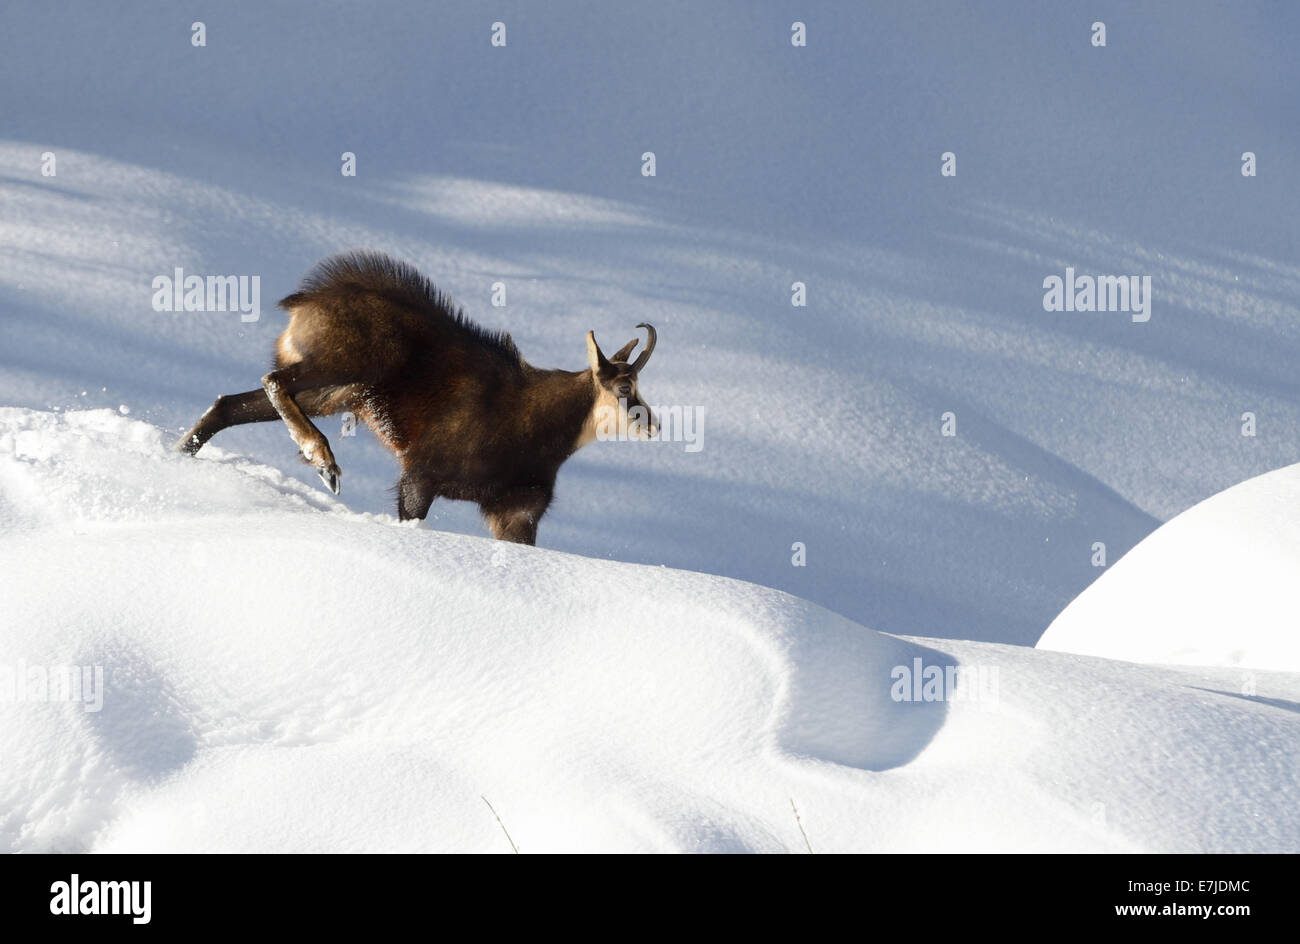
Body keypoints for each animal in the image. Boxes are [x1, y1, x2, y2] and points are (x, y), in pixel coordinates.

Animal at [176, 251, 658, 544]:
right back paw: (323, 460)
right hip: (350, 365)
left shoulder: (516, 509)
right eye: (624, 387)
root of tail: (305, 301)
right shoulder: (421, 475)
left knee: (230, 404)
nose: (652, 423)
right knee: (273, 378)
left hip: (333, 392)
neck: (543, 427)